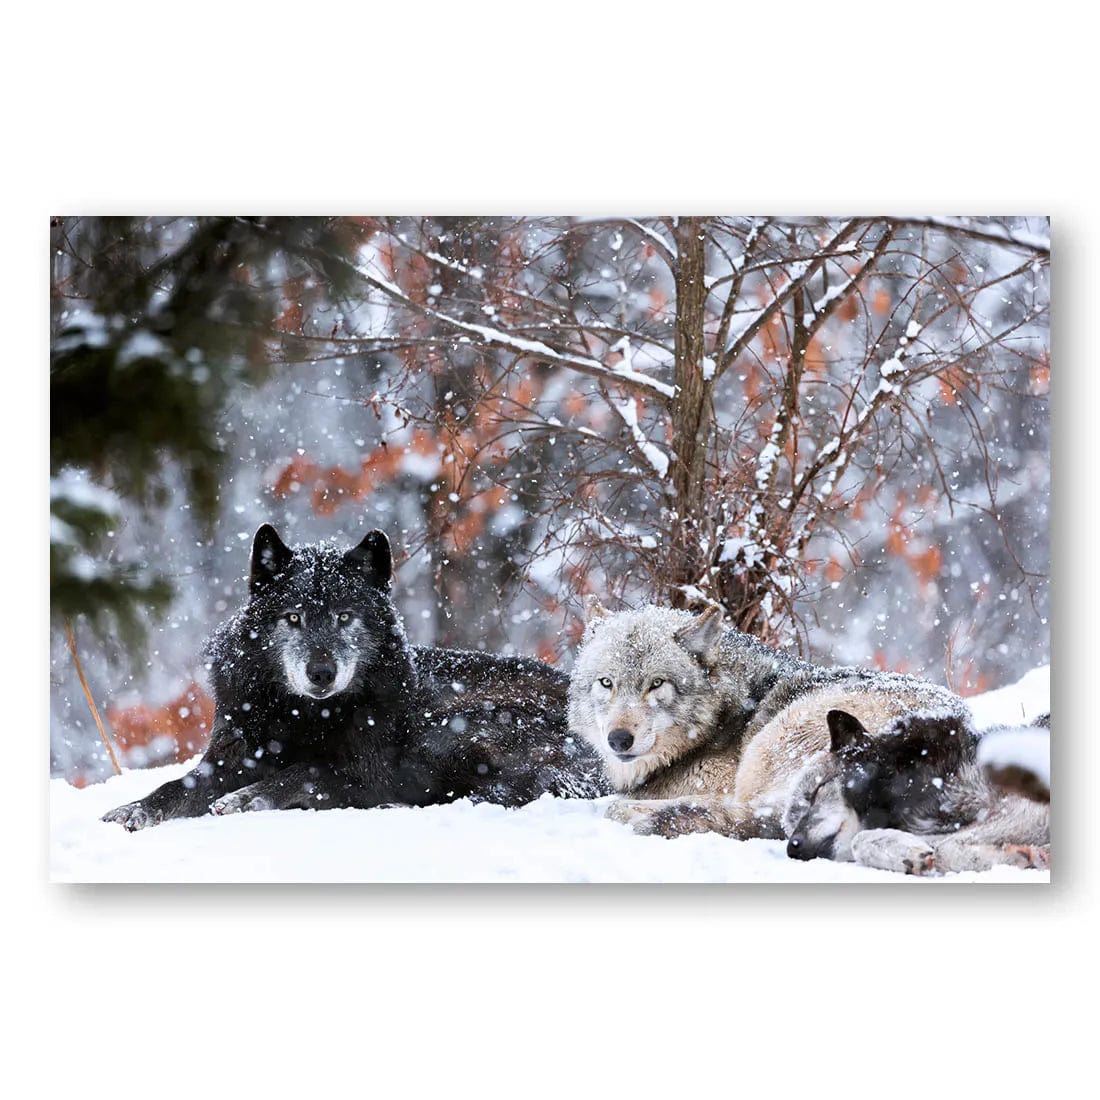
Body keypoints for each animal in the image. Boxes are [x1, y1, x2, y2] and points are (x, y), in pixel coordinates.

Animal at [103, 525, 607, 830]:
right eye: (293, 618)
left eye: (345, 616)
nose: (321, 672)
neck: (303, 715)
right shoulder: (230, 757)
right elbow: (177, 786)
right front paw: (135, 809)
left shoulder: (368, 768)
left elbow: (307, 772)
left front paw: (249, 798)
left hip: (452, 727)